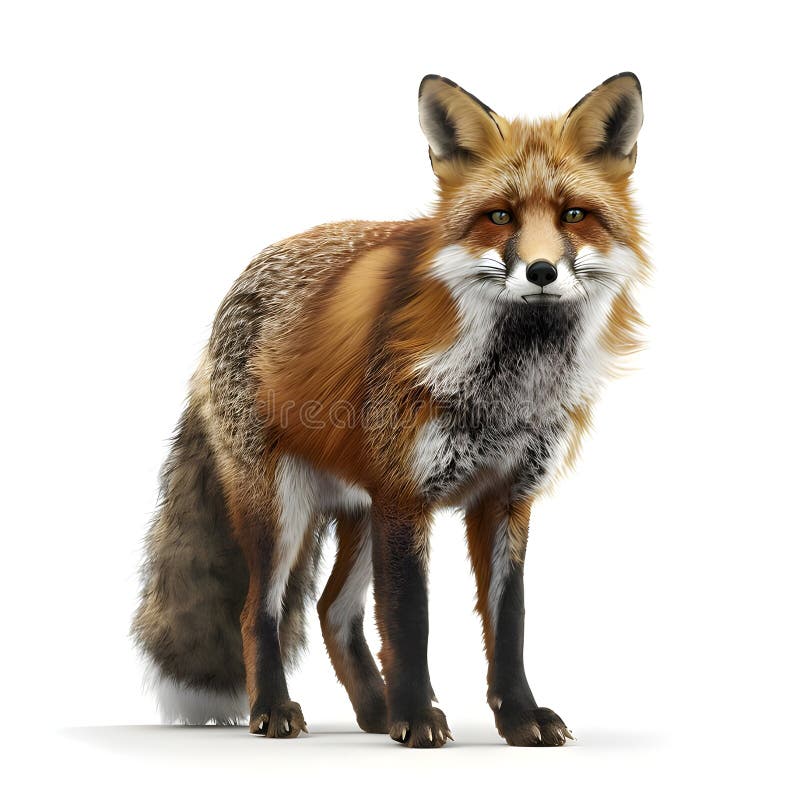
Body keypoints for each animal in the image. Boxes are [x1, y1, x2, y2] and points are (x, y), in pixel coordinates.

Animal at [132, 72, 648, 748]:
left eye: (574, 215)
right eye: (499, 216)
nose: (541, 271)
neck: (507, 391)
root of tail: (234, 289)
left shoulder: (506, 497)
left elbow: (508, 625)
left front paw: (517, 716)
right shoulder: (407, 497)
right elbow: (409, 619)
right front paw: (417, 716)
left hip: (359, 509)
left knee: (331, 609)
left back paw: (373, 712)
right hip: (283, 511)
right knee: (257, 610)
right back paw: (275, 708)